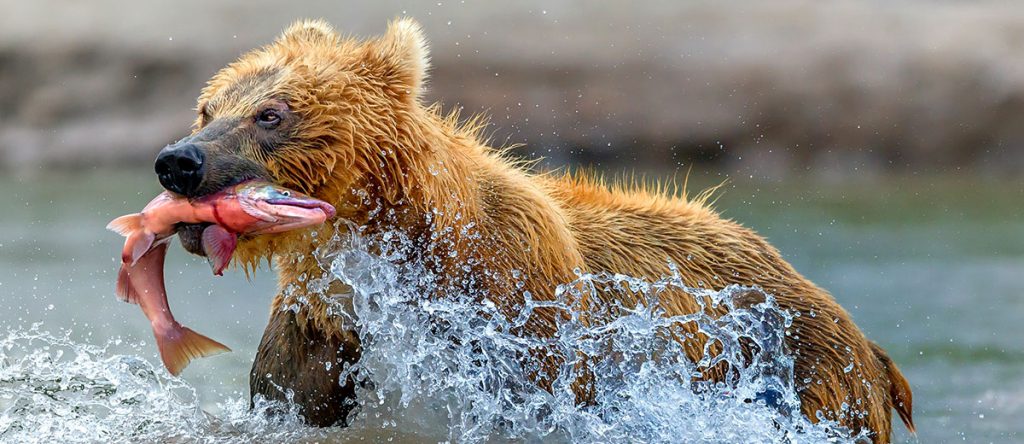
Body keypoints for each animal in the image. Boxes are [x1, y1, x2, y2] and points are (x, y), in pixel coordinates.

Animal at [152, 18, 914, 441]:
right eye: (208, 106)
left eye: (271, 113)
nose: (180, 162)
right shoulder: (323, 326)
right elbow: (293, 398)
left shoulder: (518, 309)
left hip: (804, 374)